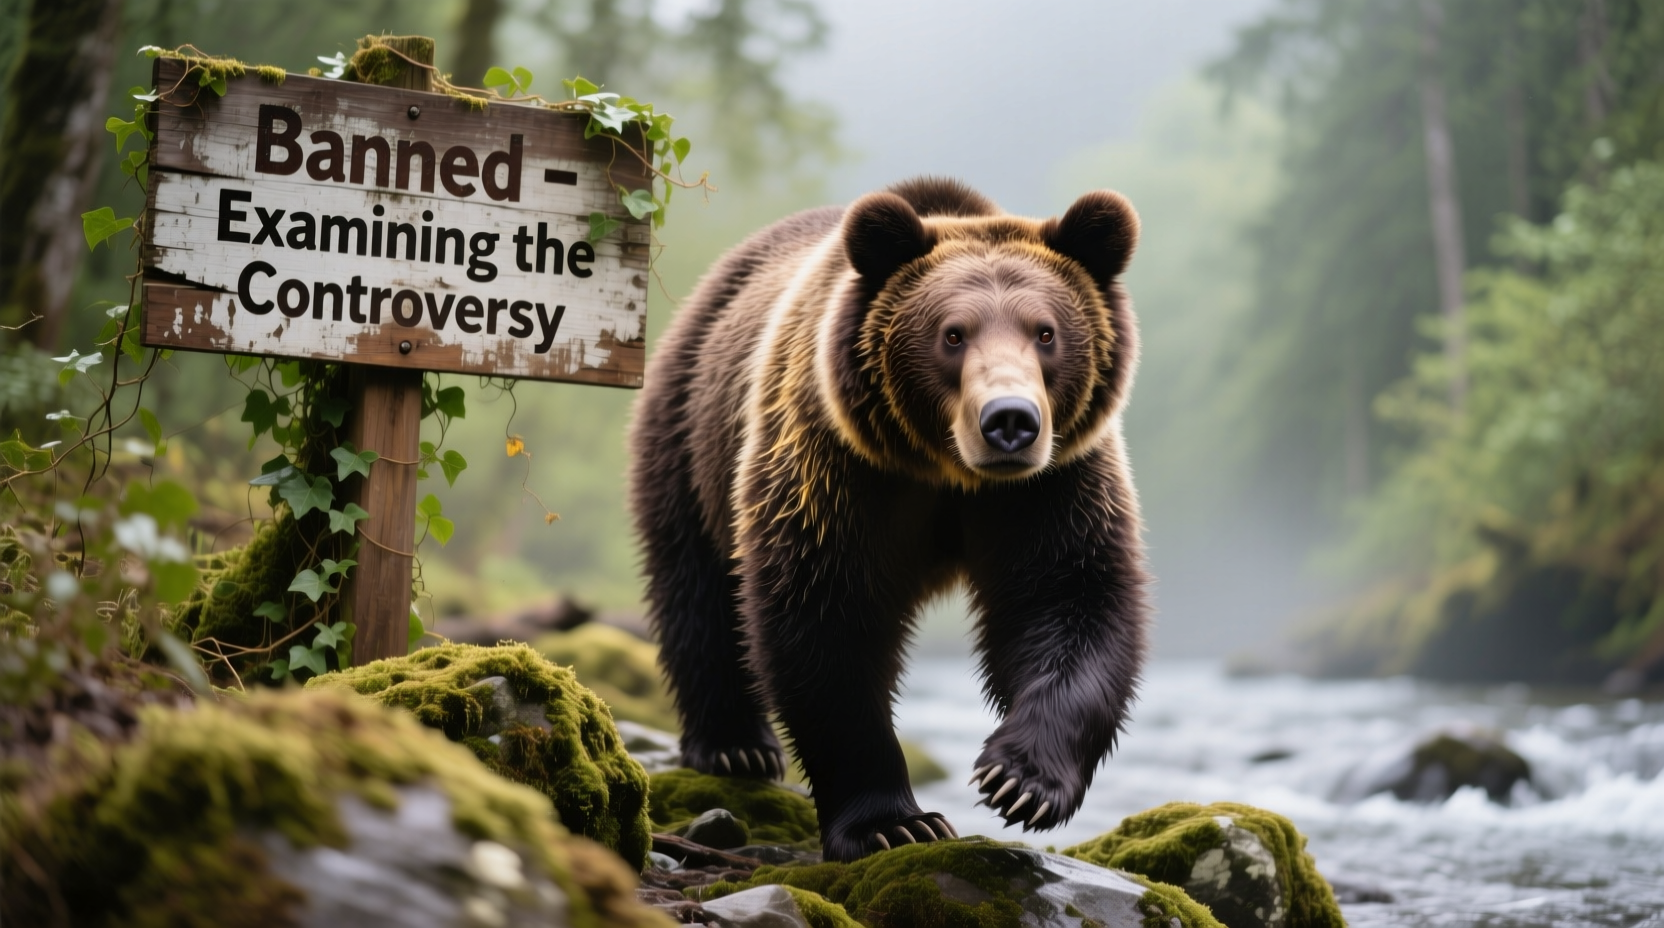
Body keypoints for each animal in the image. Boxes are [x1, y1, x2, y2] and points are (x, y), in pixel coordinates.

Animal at [628, 177, 1149, 862]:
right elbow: (825, 621)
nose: (1010, 420)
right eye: (953, 334)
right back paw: (734, 746)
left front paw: (1020, 781)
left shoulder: (1053, 483)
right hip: (691, 433)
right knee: (699, 587)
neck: (946, 471)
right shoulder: (835, 469)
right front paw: (894, 821)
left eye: (1046, 332)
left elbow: (1072, 597)